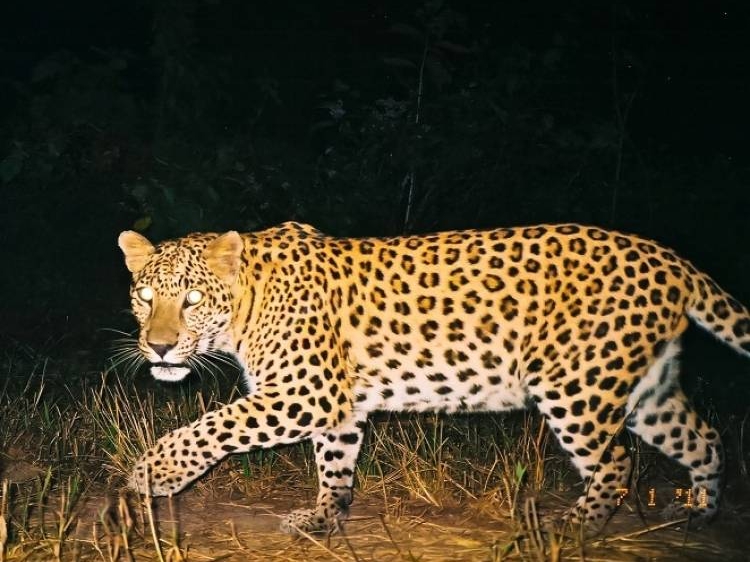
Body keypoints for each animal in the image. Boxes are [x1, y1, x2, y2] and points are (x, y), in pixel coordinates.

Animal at [118, 222, 750, 535]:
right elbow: (335, 462)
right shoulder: (339, 404)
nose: (160, 346)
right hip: (646, 390)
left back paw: (574, 527)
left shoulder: (304, 393)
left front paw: (154, 473)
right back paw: (697, 513)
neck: (247, 302)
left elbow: (211, 427)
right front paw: (325, 517)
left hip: (578, 384)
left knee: (616, 463)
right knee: (704, 439)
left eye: (192, 299)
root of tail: (672, 259)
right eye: (145, 297)